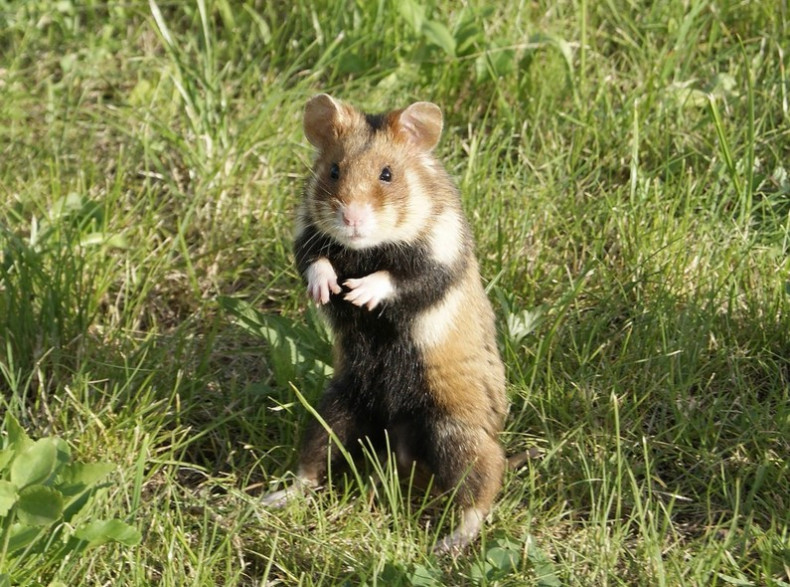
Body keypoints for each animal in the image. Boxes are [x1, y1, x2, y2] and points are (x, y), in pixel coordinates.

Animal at [263, 94, 508, 554]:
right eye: (334, 169)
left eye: (387, 174)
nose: (352, 220)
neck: (367, 248)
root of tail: (401, 450)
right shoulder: (305, 238)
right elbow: (314, 261)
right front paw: (328, 291)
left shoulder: (440, 257)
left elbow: (399, 278)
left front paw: (358, 293)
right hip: (337, 407)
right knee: (313, 463)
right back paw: (272, 498)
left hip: (454, 430)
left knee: (483, 487)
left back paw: (447, 544)